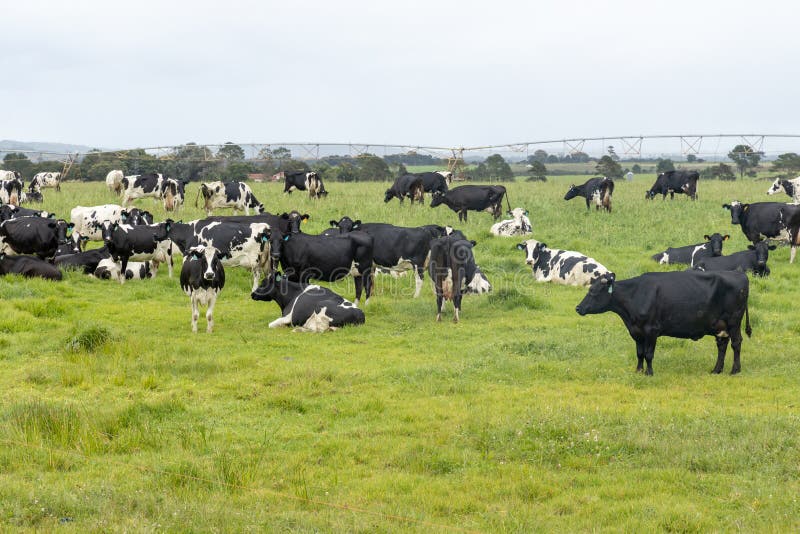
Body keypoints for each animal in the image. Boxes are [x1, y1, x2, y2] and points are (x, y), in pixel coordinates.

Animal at [576, 270, 751, 375]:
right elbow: (639, 353)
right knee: (722, 345)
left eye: (593, 292)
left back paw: (735, 370)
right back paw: (716, 370)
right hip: (720, 325)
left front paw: (649, 373)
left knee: (736, 343)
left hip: (734, 321)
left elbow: (648, 354)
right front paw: (638, 371)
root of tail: (739, 273)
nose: (578, 308)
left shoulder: (652, 330)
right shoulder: (636, 331)